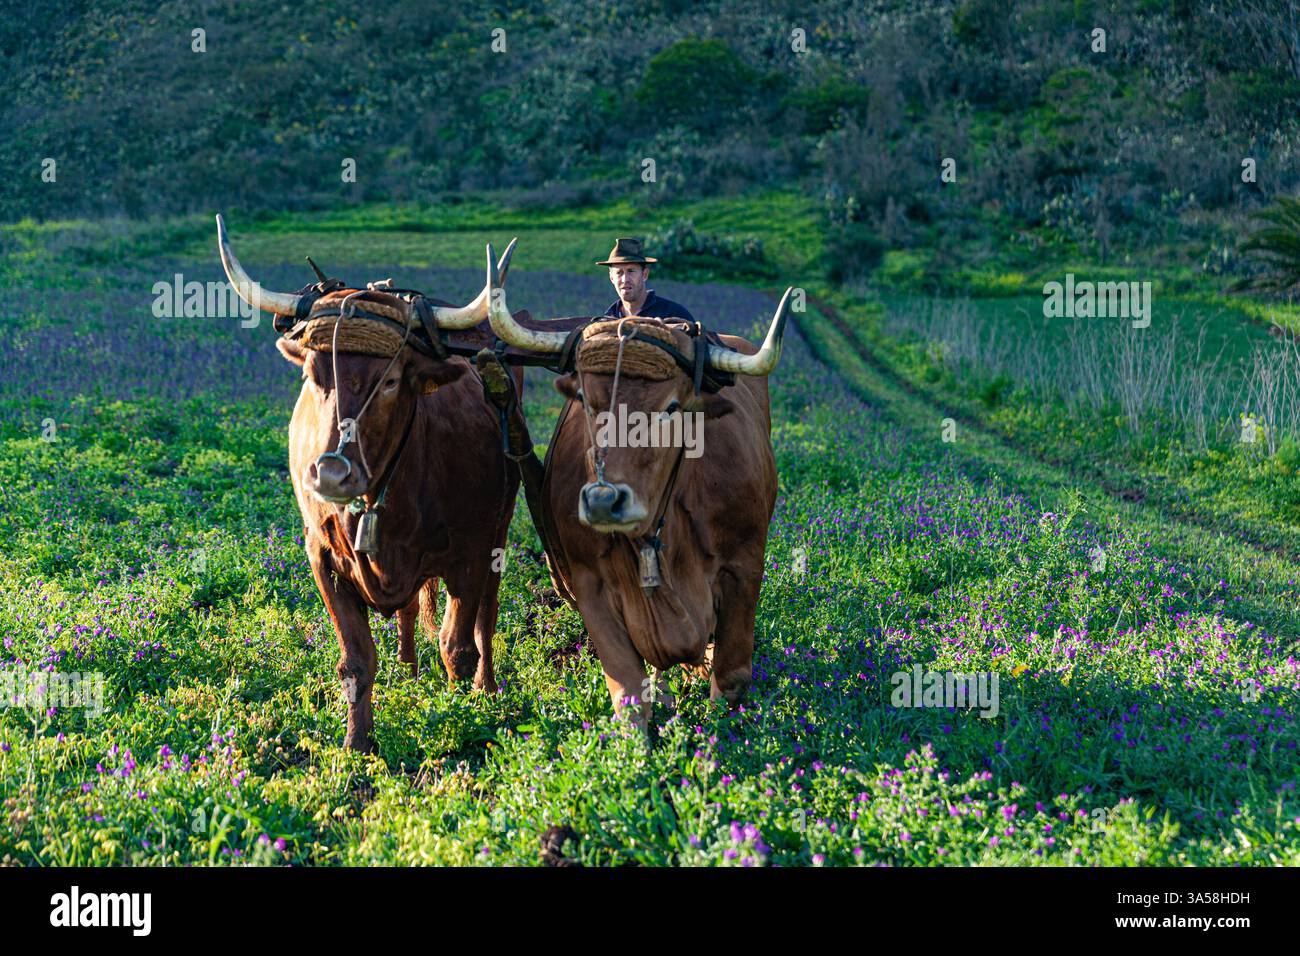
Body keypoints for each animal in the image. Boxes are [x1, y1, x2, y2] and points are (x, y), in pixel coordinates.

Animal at [217, 216, 525, 753]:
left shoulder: (472, 552)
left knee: (485, 618)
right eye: (313, 373)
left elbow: (457, 645)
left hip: (500, 533)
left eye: (391, 380)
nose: (332, 472)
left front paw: (465, 719)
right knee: (408, 614)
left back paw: (487, 688)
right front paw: (357, 746)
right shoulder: (322, 557)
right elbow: (357, 660)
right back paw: (408, 670)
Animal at [480, 244, 794, 729]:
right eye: (587, 401)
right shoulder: (591, 586)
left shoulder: (744, 568)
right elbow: (628, 692)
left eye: (671, 408)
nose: (603, 501)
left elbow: (730, 677)